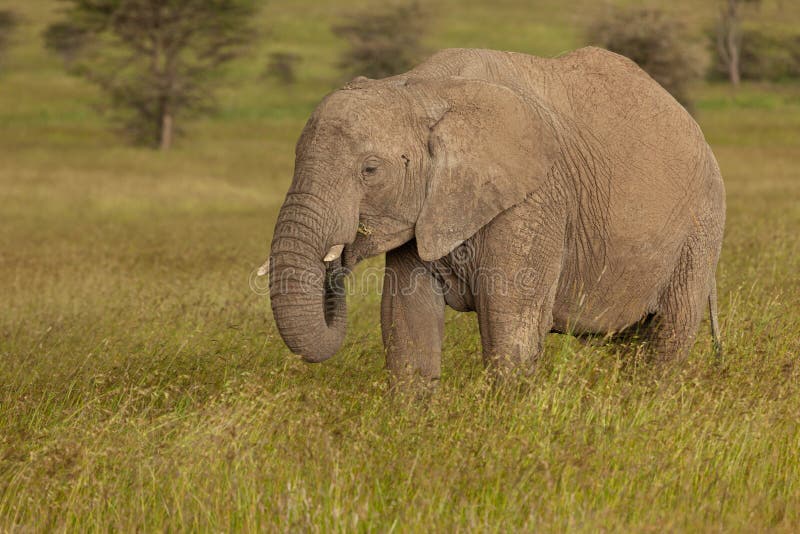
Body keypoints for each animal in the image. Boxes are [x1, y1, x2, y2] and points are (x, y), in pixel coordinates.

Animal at [261, 47, 726, 385]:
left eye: (370, 170)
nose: (337, 262)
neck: (424, 88)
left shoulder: (535, 199)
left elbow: (511, 325)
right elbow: (406, 318)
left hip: (702, 225)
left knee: (668, 333)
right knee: (629, 339)